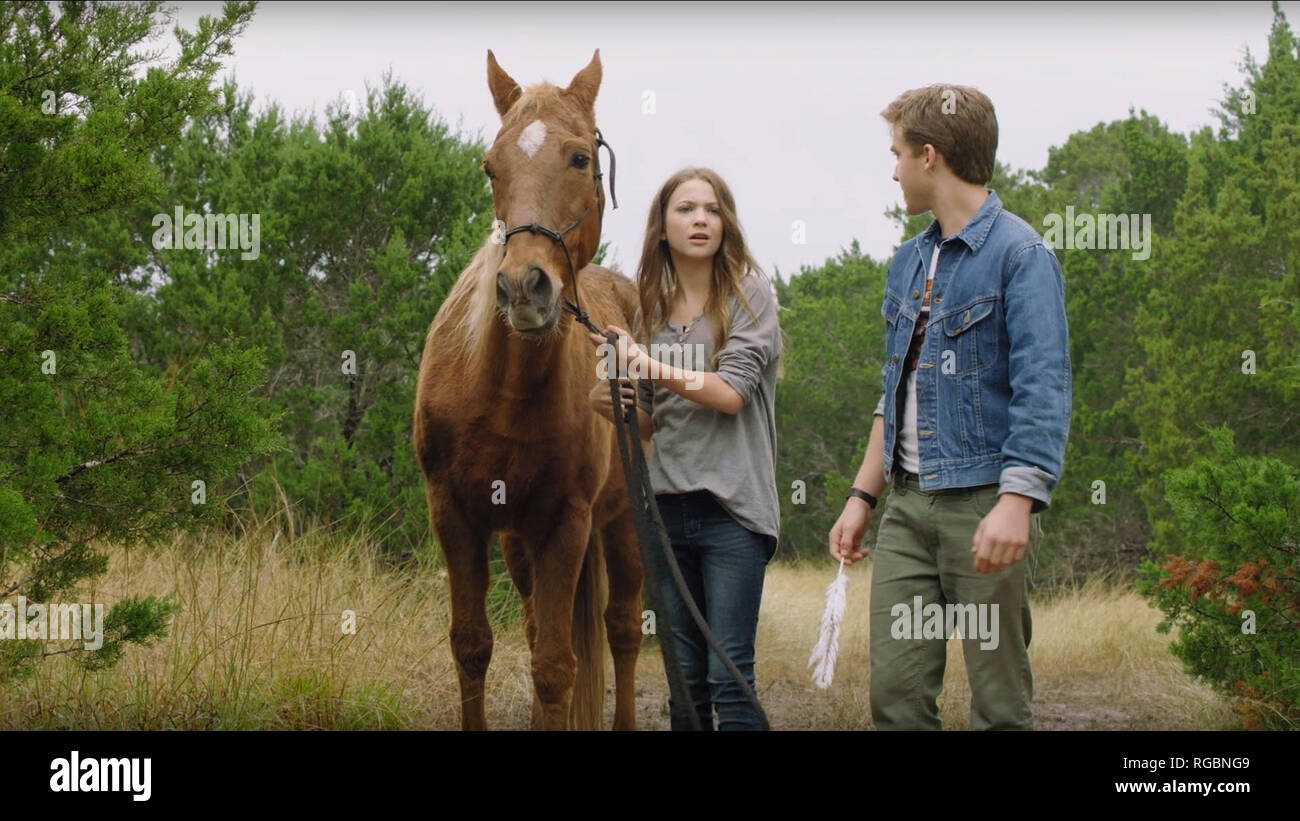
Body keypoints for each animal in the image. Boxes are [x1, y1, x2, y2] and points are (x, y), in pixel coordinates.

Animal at [412, 49, 644, 730]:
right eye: (491, 165)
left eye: (580, 158)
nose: (522, 288)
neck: (502, 390)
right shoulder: (455, 514)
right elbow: (474, 645)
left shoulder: (567, 522)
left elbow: (556, 668)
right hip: (518, 543)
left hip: (624, 523)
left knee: (623, 629)